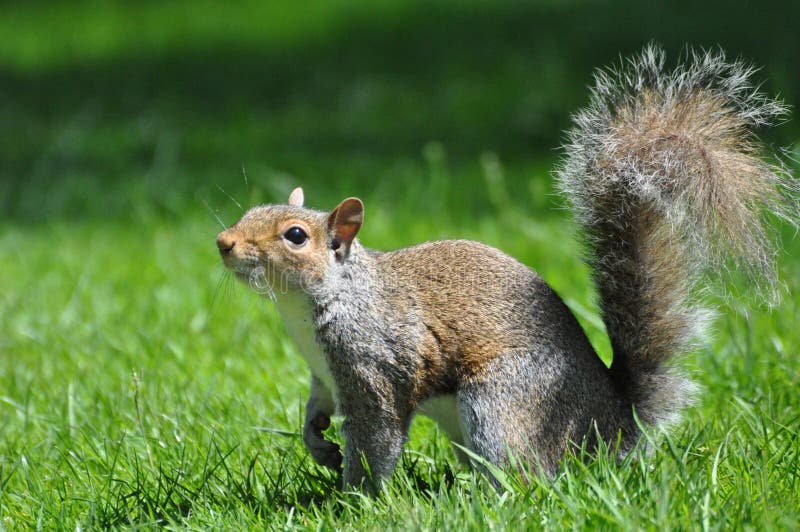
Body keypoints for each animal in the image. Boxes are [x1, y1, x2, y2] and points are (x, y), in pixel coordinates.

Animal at [216, 45, 797, 491]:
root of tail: (613, 427)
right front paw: (319, 445)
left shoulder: (376, 367)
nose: (223, 242)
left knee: (527, 477)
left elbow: (377, 439)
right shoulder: (323, 372)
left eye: (295, 236)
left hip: (503, 402)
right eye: (252, 210)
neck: (317, 301)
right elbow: (315, 409)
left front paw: (354, 499)